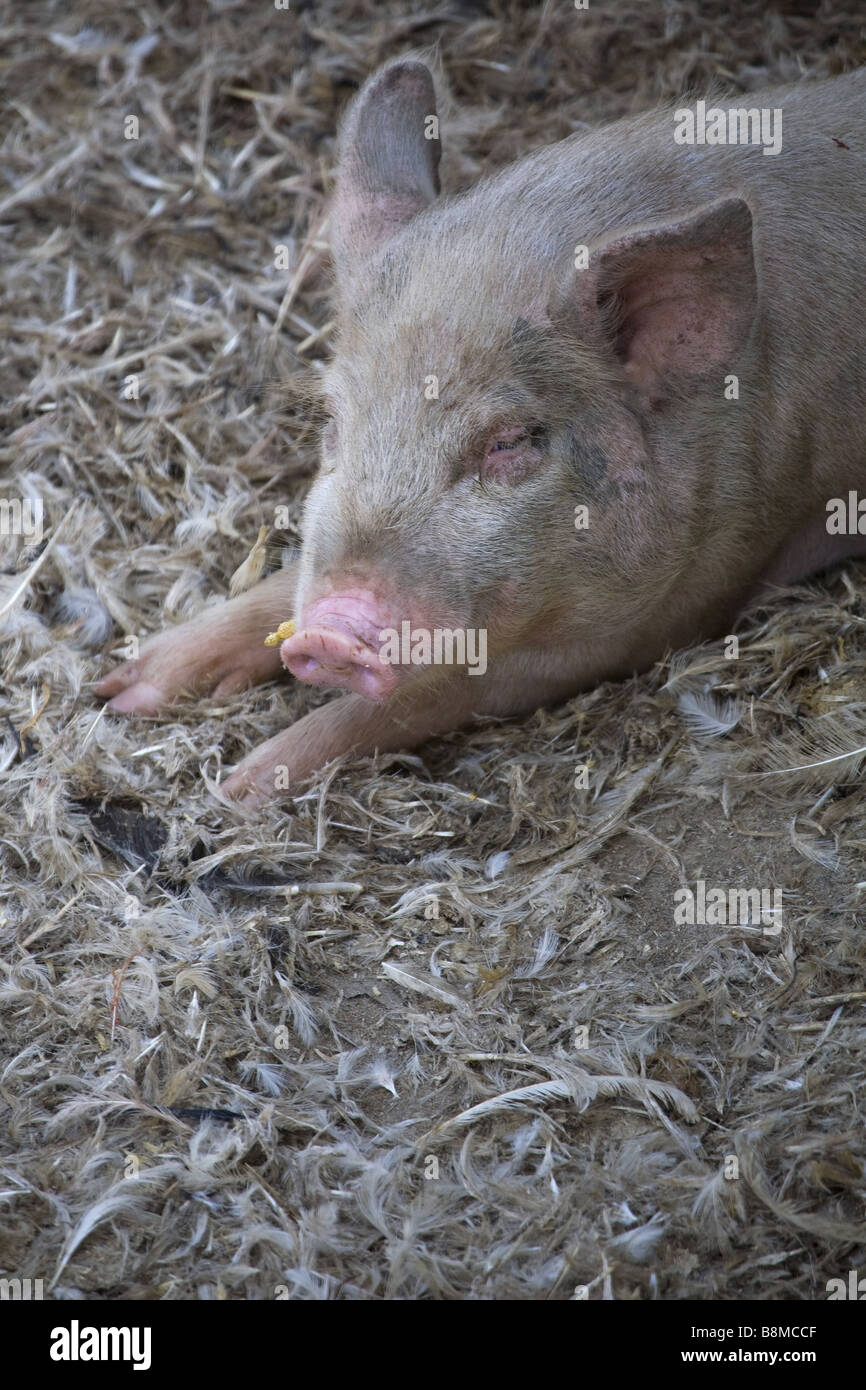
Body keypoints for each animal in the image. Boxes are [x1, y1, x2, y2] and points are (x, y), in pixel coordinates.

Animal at [95, 60, 866, 806]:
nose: (331, 630)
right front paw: (119, 691)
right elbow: (282, 584)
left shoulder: (678, 604)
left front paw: (241, 787)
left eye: (510, 441)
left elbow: (426, 697)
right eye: (336, 424)